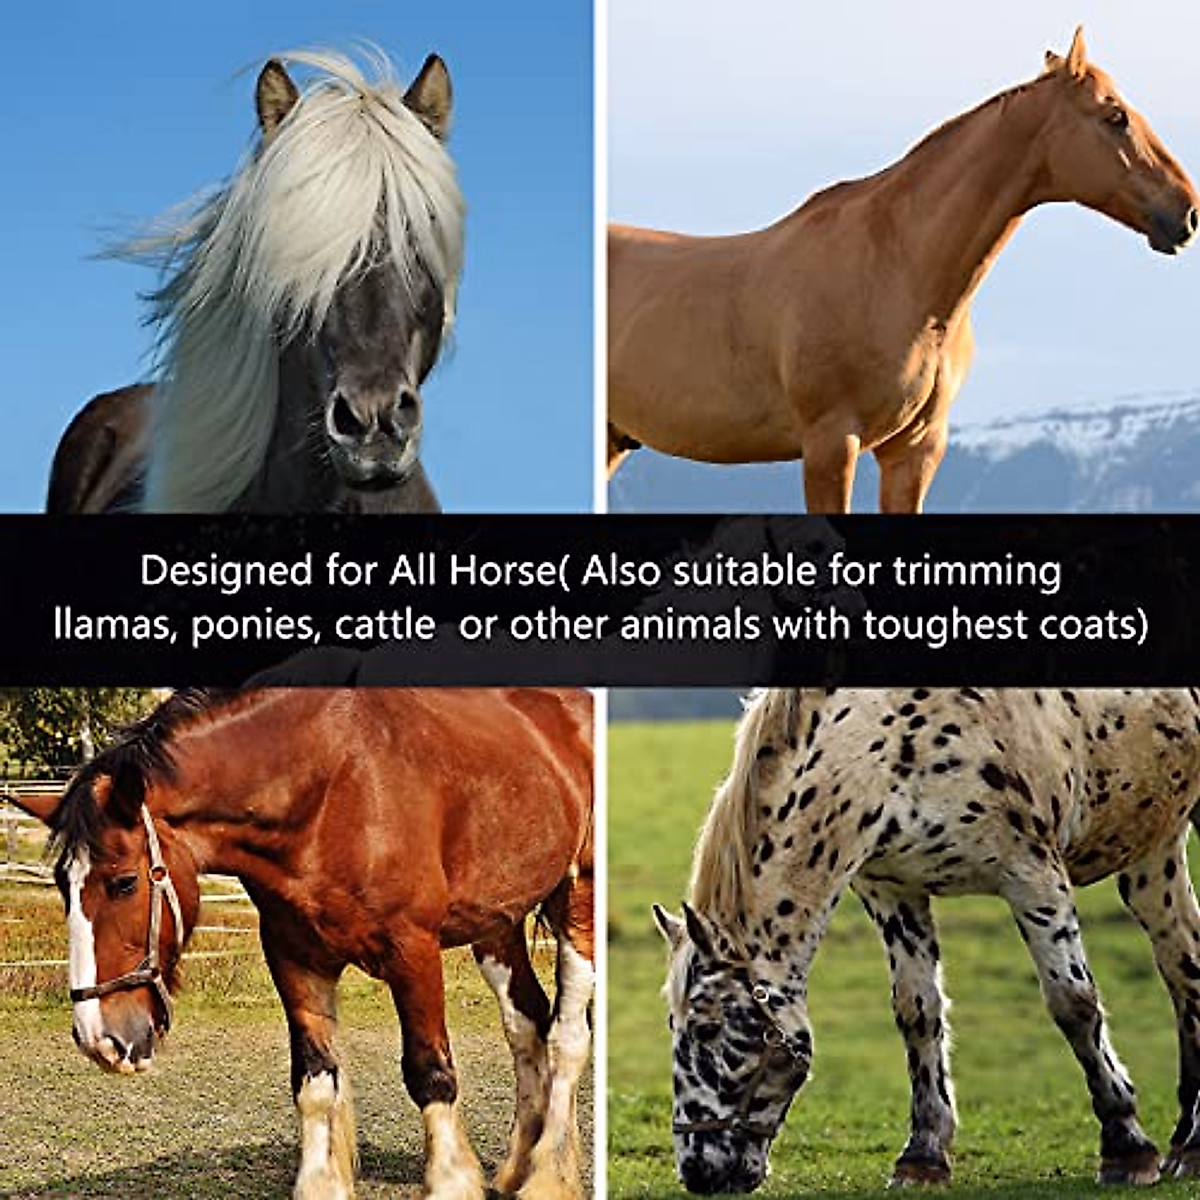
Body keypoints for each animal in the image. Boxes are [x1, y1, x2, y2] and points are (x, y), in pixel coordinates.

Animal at [13, 688, 594, 1199]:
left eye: (124, 883)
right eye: (63, 884)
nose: (99, 1039)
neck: (329, 787)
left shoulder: (413, 952)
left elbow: (431, 1075)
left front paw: (451, 1183)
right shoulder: (294, 957)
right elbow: (314, 1082)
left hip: (577, 904)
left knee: (567, 1036)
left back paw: (548, 1178)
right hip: (497, 924)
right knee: (526, 1024)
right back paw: (517, 1169)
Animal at [654, 688, 1200, 1192]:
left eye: (707, 1029)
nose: (698, 1170)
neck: (893, 737)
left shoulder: (1033, 876)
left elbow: (1074, 1004)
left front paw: (1126, 1145)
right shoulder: (892, 890)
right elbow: (917, 1014)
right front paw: (923, 1155)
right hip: (1155, 853)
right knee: (1183, 966)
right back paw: (1187, 1144)